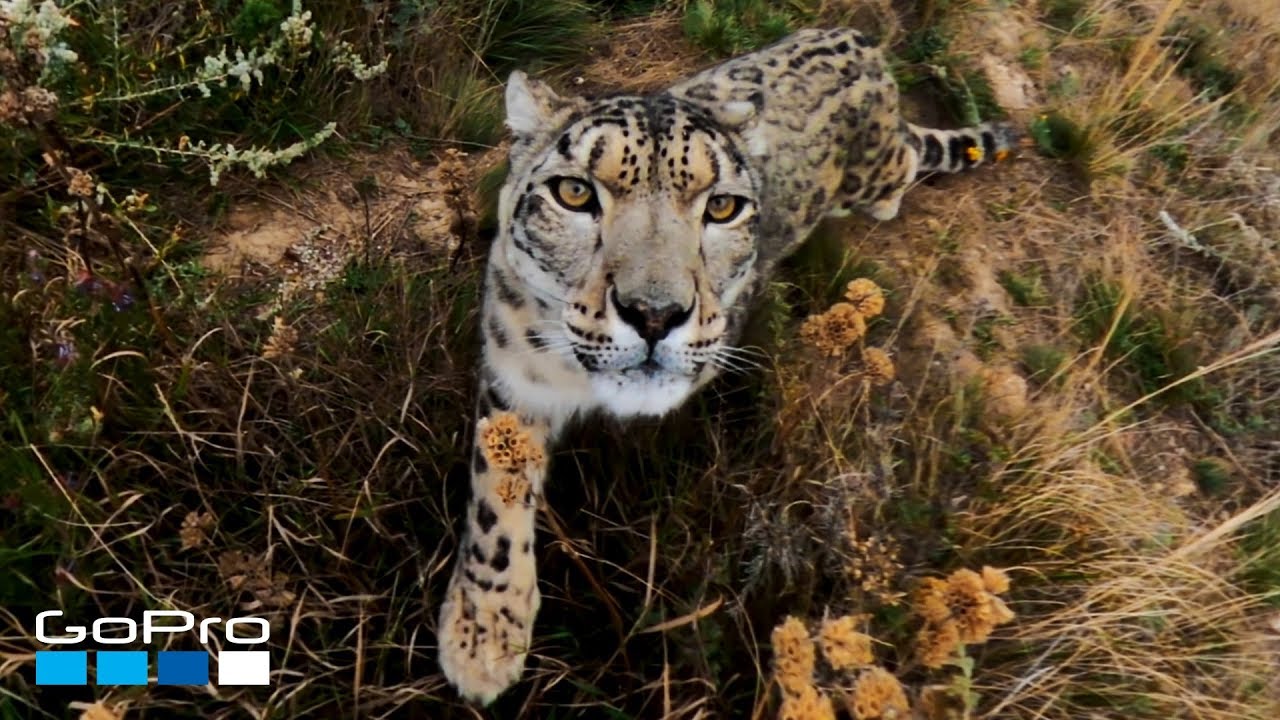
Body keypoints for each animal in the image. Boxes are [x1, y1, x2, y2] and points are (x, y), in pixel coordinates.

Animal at [436, 27, 1017, 705]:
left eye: (722, 207)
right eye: (574, 193)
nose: (655, 313)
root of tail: (860, 39)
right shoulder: (514, 370)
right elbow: (496, 498)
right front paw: (483, 637)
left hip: (876, 171)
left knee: (902, 161)